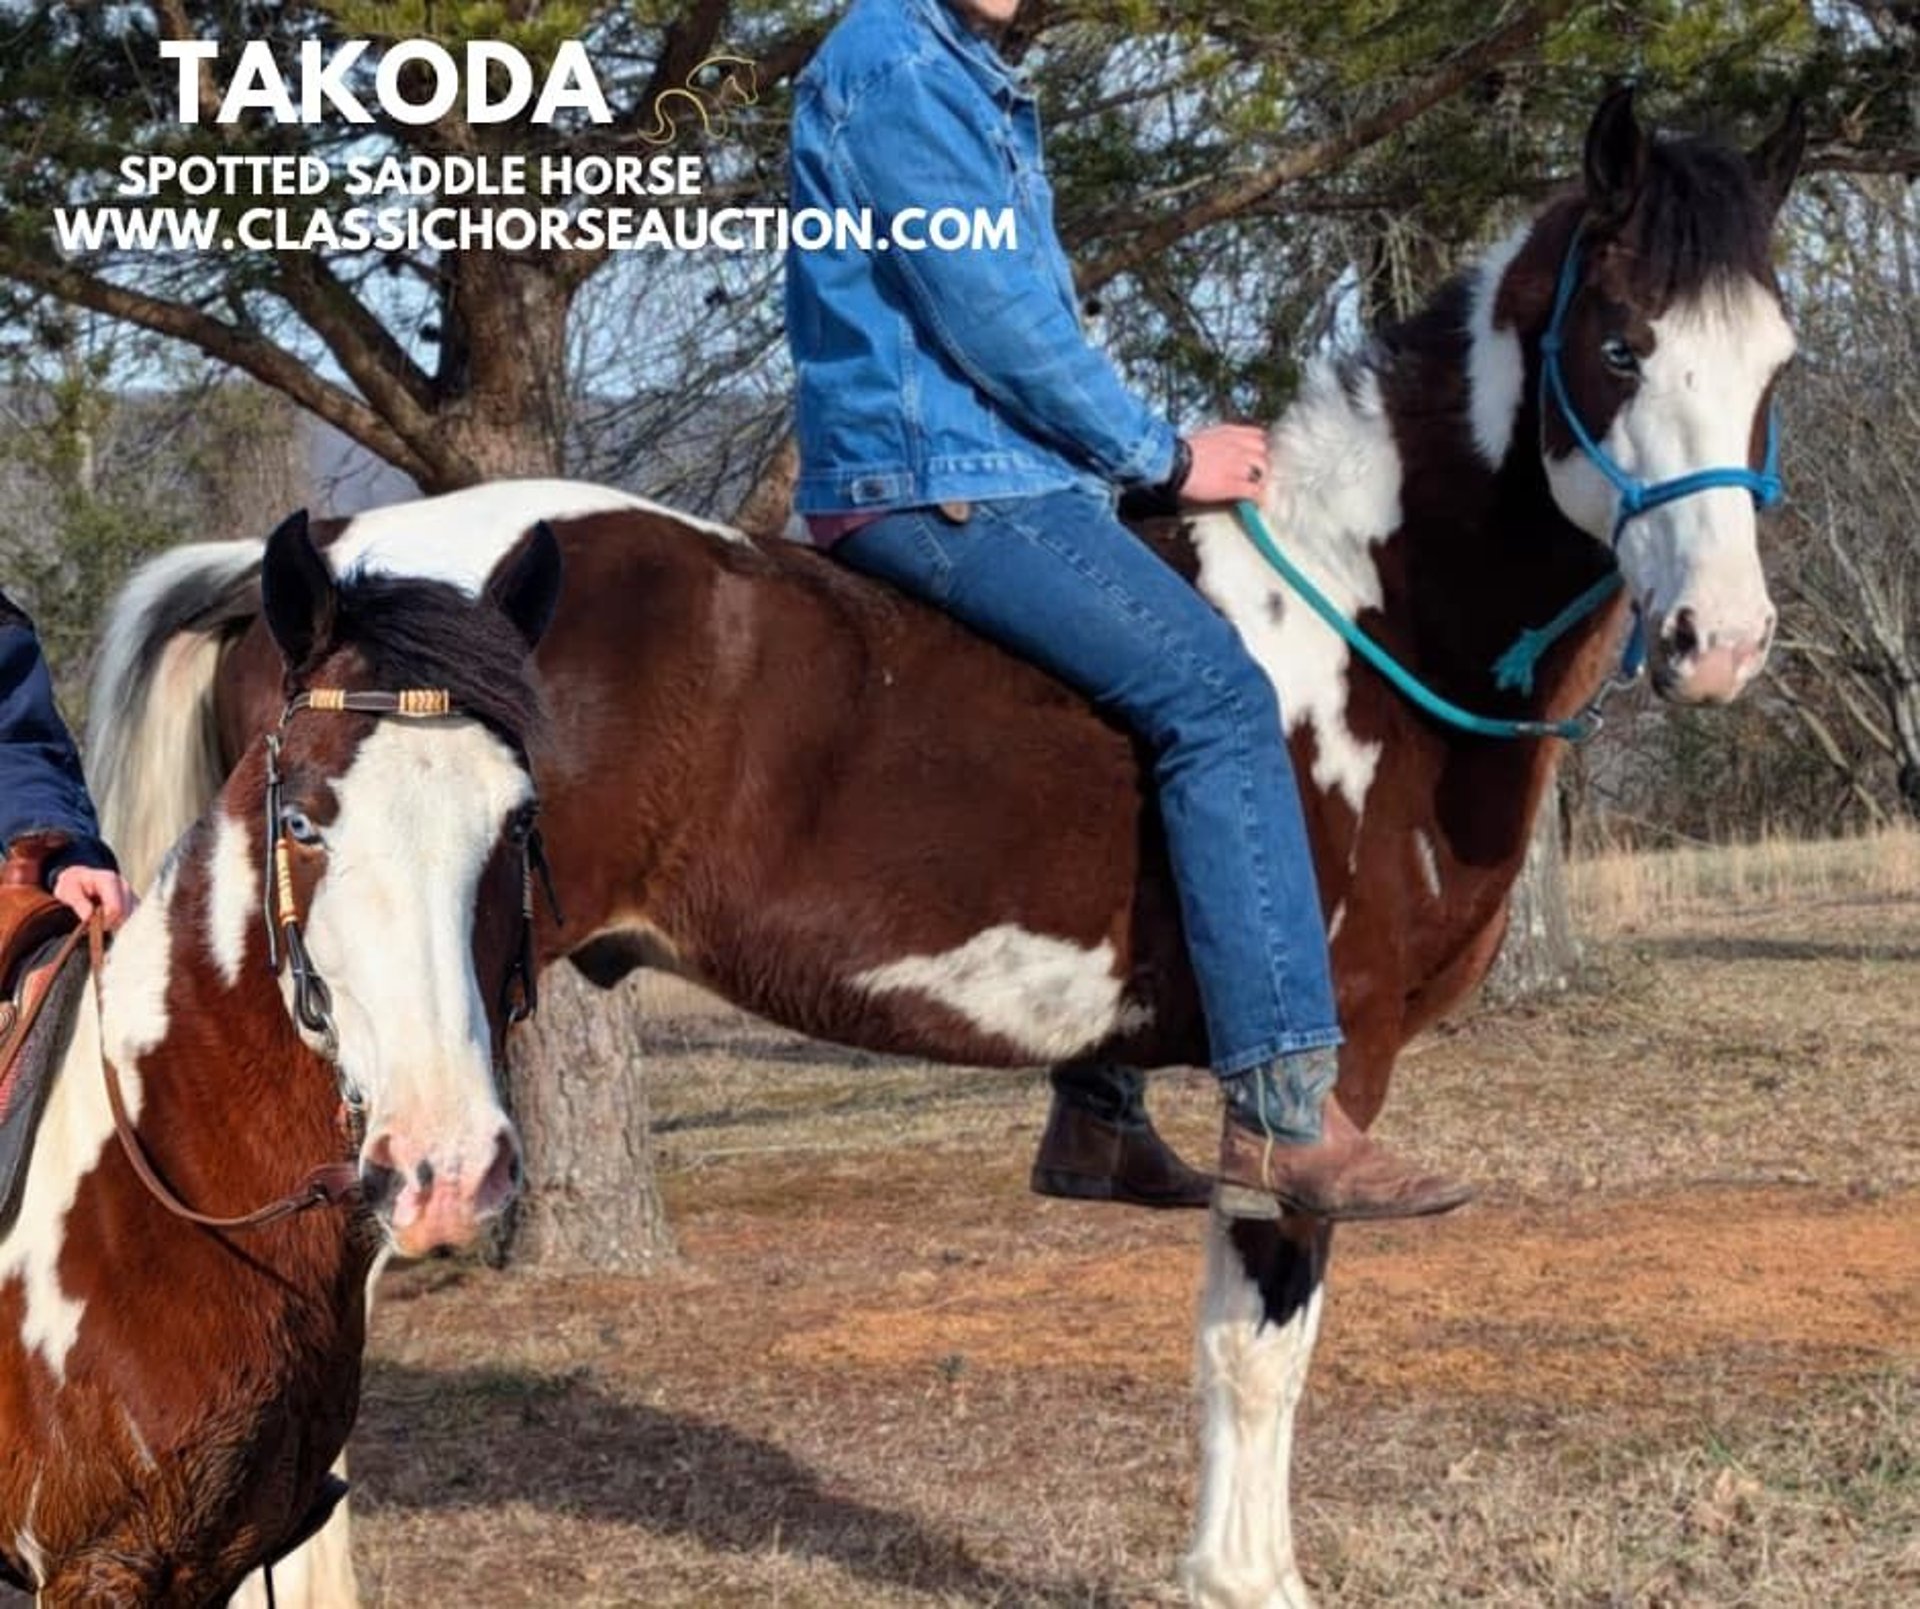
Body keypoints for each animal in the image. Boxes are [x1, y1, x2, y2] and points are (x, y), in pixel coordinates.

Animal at [84, 90, 1802, 1606]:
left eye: (1775, 361)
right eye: (1620, 343)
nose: (1719, 644)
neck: (1362, 613)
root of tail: (314, 566)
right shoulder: (1327, 1071)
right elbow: (1261, 1348)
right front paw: (1249, 1583)